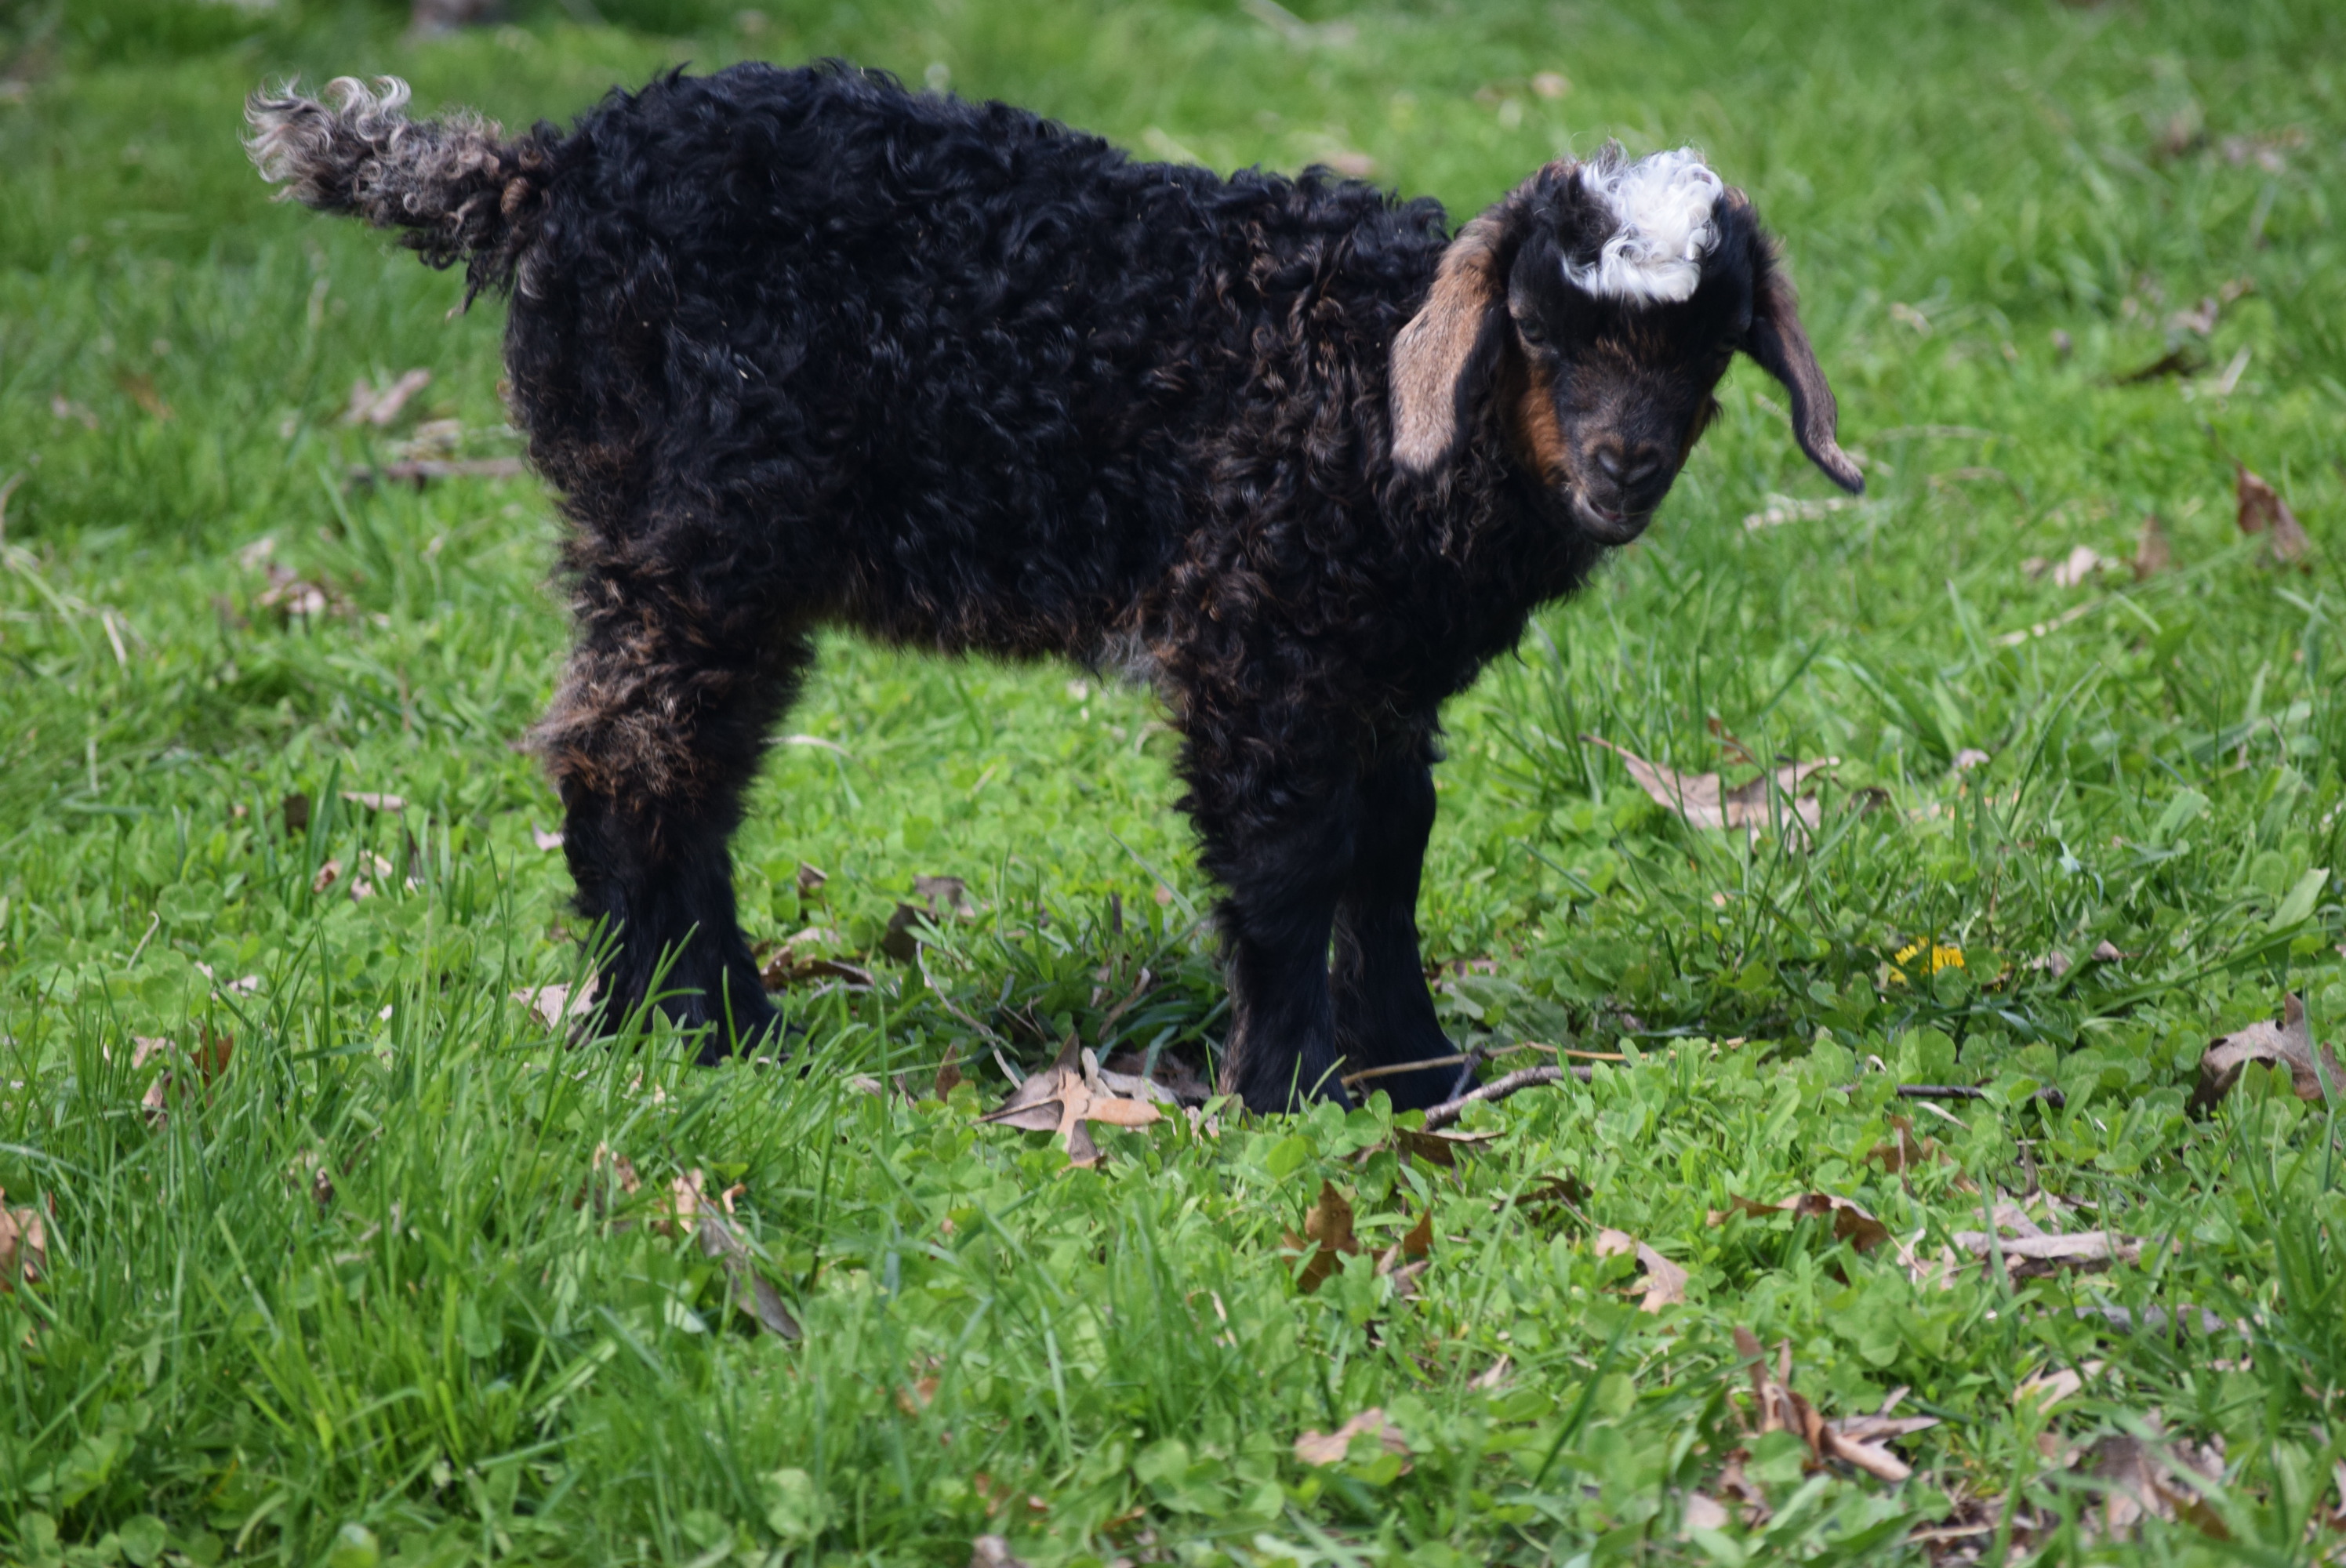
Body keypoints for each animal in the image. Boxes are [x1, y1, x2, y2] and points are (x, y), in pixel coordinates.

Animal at [247, 63, 1860, 1113]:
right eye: (1538, 324)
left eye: (1713, 339)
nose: (1625, 468)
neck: (1366, 392)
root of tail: (538, 174)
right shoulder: (1259, 636)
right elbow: (1289, 859)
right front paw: (1292, 1090)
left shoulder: (1375, 667)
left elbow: (1390, 853)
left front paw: (1422, 1070)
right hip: (697, 531)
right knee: (631, 757)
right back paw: (688, 1034)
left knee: (683, 769)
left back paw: (722, 1022)